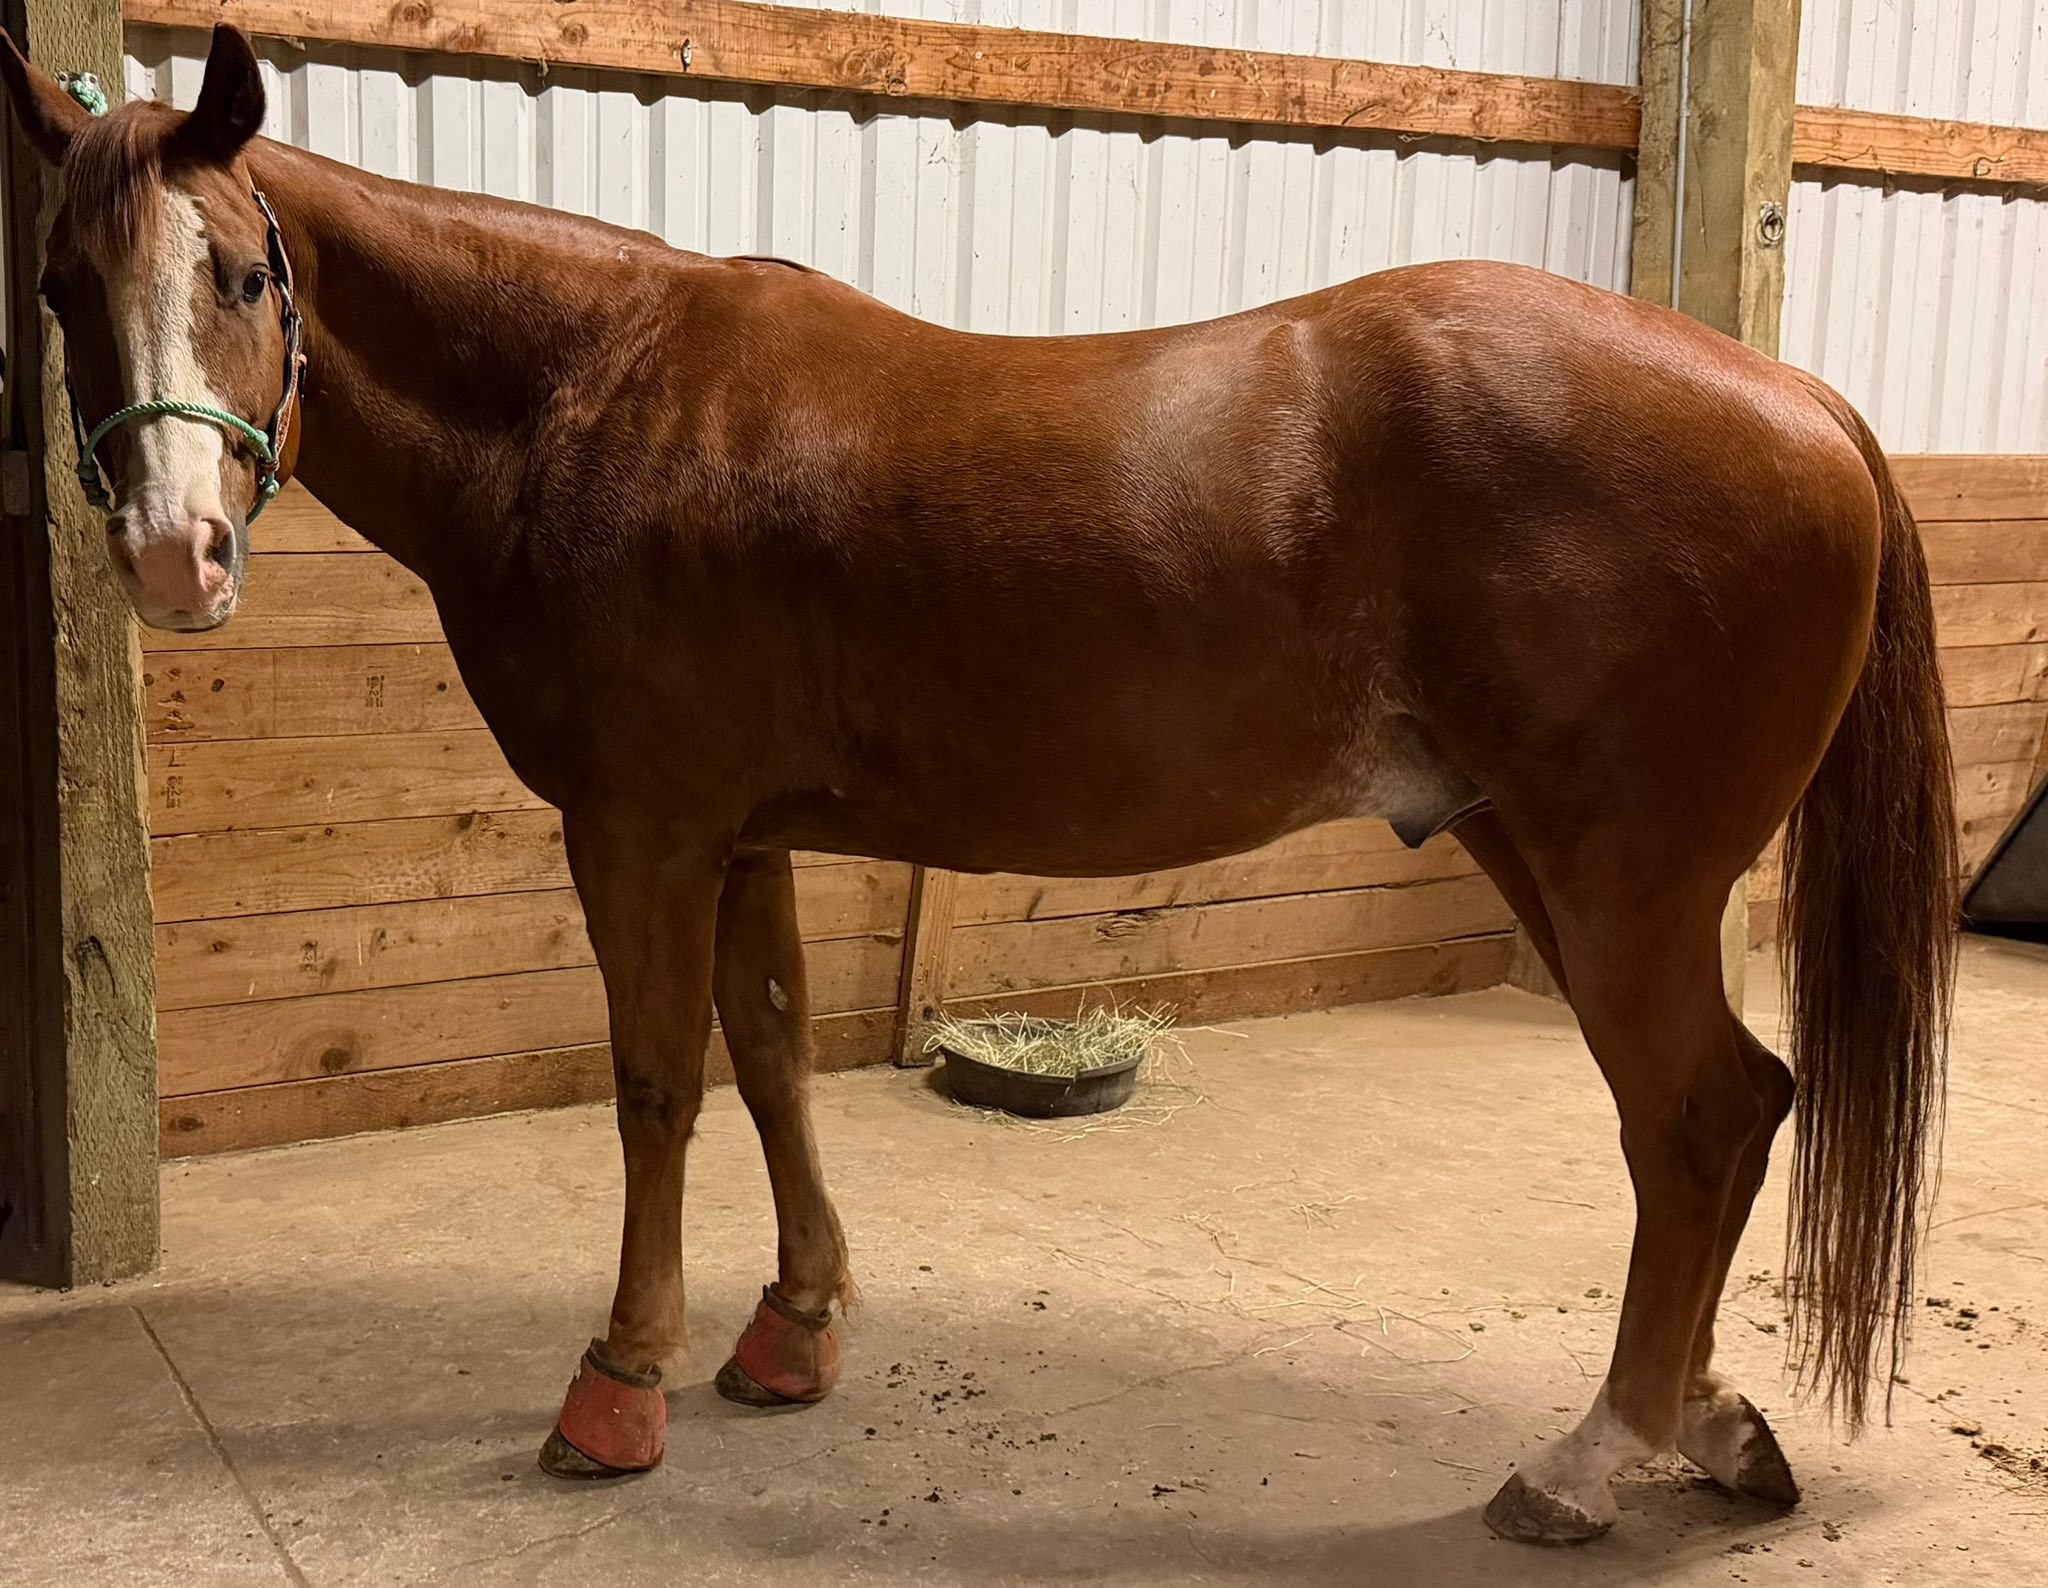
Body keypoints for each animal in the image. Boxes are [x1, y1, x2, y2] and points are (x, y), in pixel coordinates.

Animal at [2, 24, 1956, 1545]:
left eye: (243, 276)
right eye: (59, 288)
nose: (172, 554)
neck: (590, 399)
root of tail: (1803, 399)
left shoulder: (640, 831)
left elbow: (655, 1085)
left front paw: (619, 1382)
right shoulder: (743, 836)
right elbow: (773, 1055)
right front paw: (790, 1331)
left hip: (1618, 882)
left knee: (1696, 1119)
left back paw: (1593, 1457)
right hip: (1542, 858)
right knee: (1720, 1116)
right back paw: (1709, 1425)